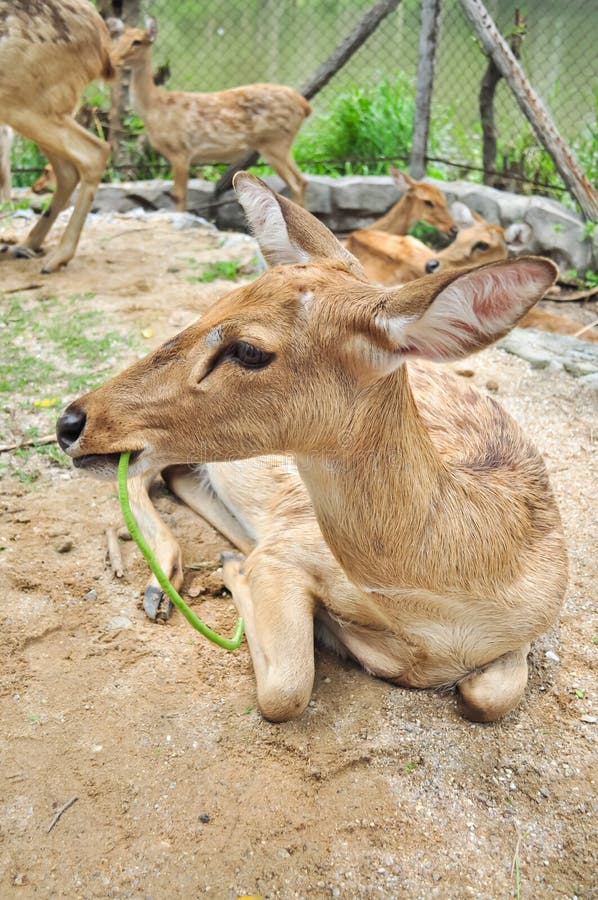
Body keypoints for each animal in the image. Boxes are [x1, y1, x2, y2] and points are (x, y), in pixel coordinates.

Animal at [56, 173, 568, 725]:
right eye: (213, 306)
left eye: (248, 349)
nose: (70, 422)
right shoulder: (288, 550)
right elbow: (288, 688)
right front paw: (238, 571)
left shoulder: (525, 634)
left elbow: (490, 696)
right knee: (139, 479)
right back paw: (166, 584)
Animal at [107, 16, 311, 211]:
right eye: (119, 39)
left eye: (137, 41)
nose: (113, 59)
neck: (155, 108)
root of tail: (305, 105)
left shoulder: (180, 150)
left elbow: (179, 196)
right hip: (279, 143)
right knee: (302, 180)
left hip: (274, 140)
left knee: (296, 183)